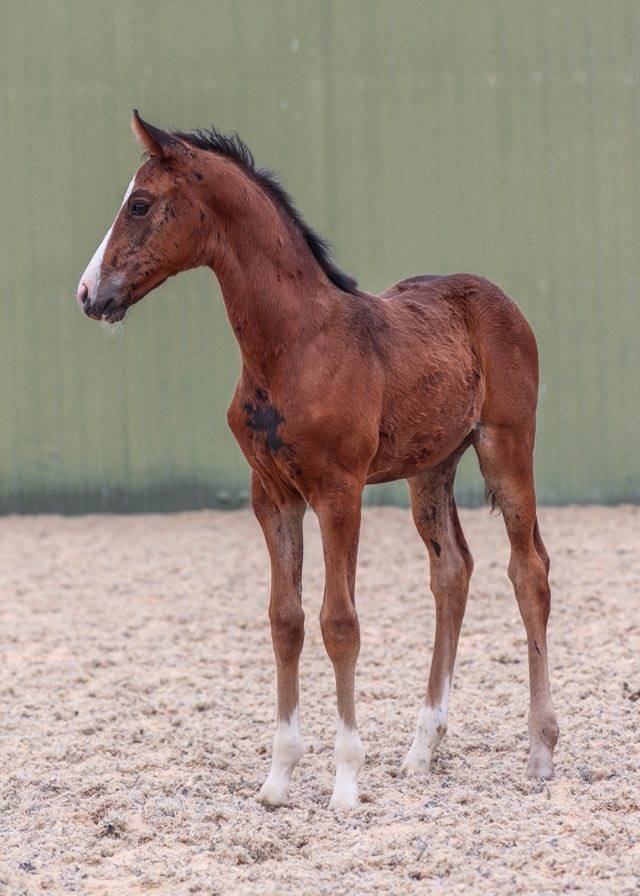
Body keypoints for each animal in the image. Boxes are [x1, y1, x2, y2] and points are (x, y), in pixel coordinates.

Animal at [76, 111, 558, 810]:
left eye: (139, 204)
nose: (89, 294)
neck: (295, 345)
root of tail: (496, 296)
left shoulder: (339, 491)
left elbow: (340, 622)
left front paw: (346, 781)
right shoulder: (272, 495)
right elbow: (286, 620)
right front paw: (278, 778)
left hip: (507, 446)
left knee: (529, 573)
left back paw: (541, 751)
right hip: (430, 467)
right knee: (452, 571)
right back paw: (421, 751)